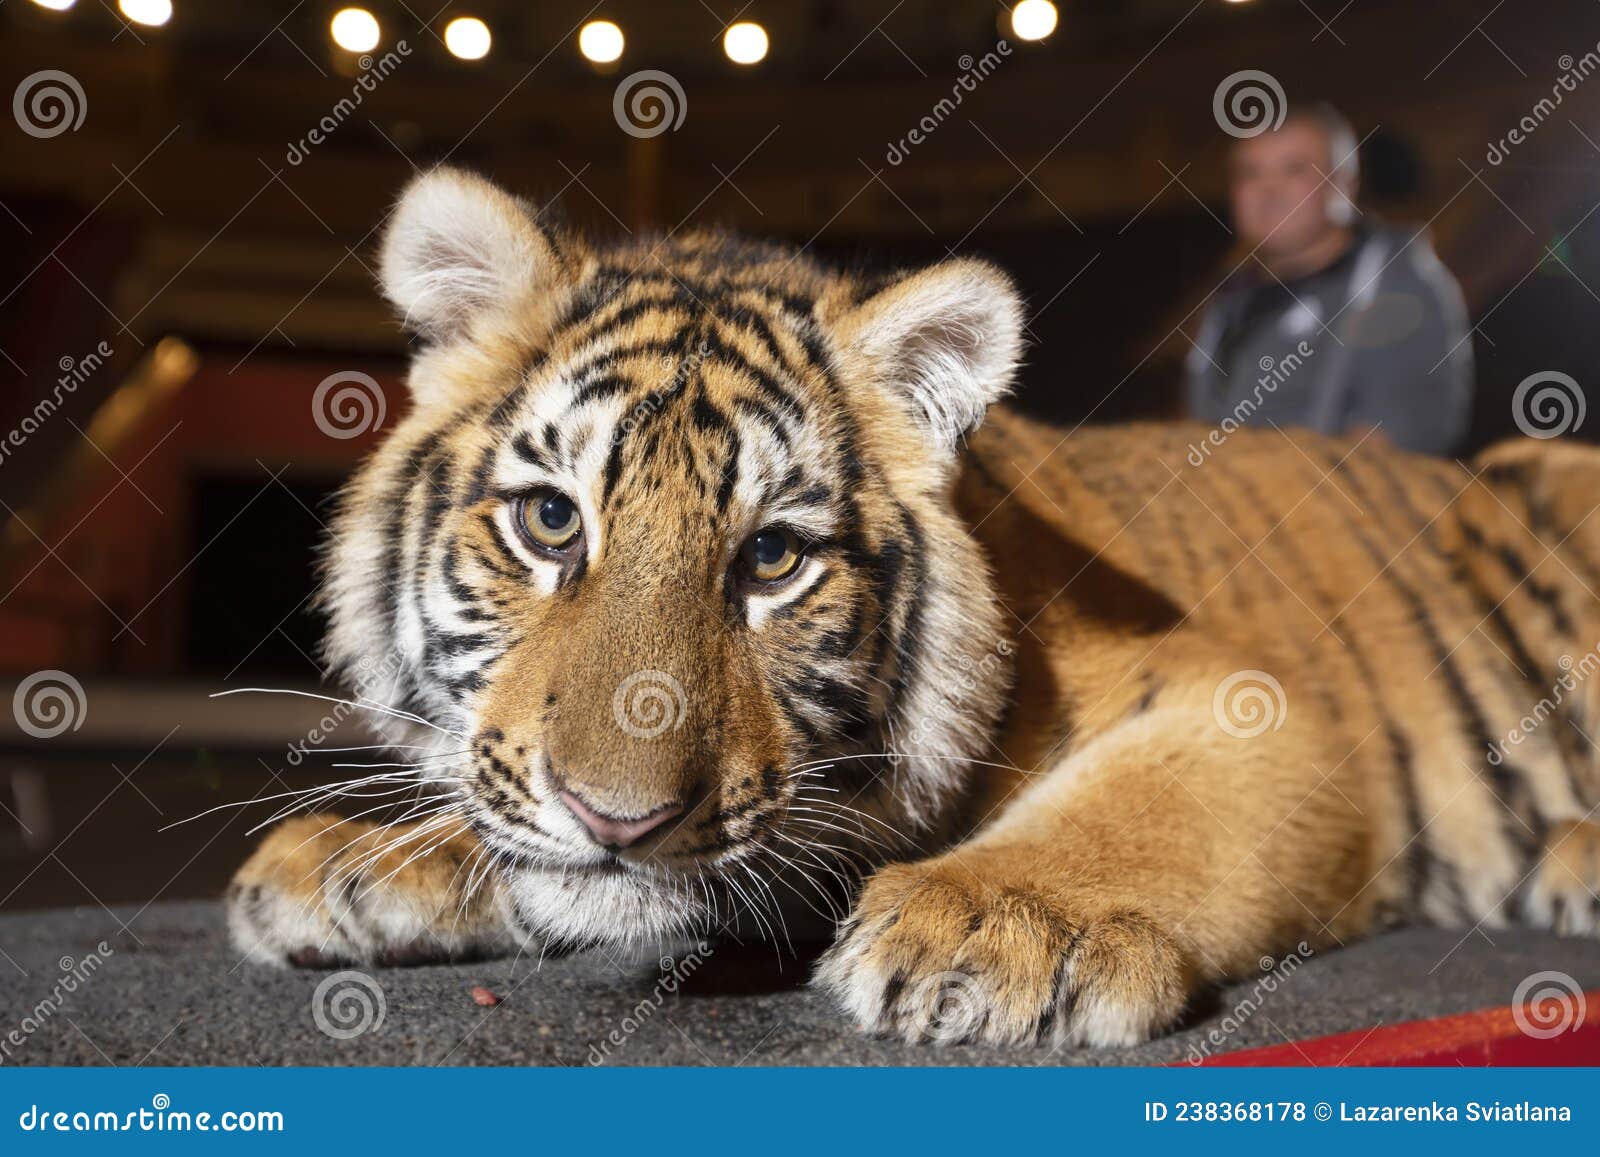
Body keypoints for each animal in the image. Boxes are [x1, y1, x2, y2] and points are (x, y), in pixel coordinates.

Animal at [228, 166, 1600, 1048]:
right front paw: (354, 858)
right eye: (551, 523)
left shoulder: (1258, 703)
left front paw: (998, 923)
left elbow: (1138, 811)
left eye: (772, 558)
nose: (618, 821)